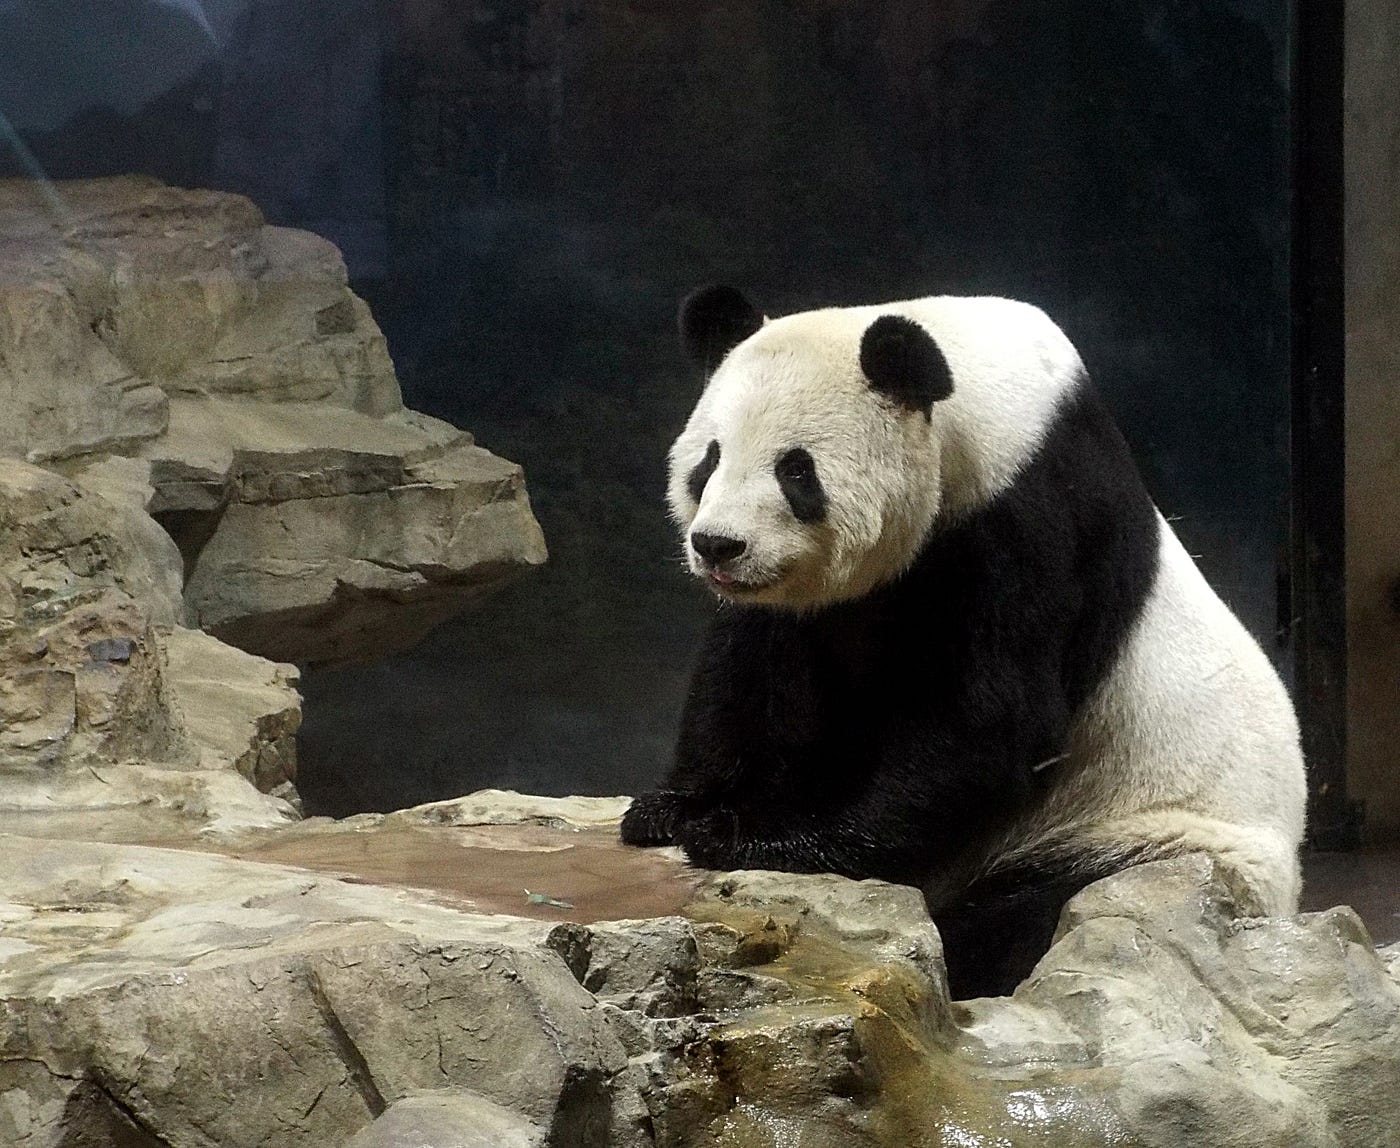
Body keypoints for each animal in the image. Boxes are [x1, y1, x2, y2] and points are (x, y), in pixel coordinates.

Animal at [621, 285, 1307, 999]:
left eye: (797, 472)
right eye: (709, 460)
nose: (717, 545)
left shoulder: (1028, 519)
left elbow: (987, 725)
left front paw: (767, 842)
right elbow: (756, 672)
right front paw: (678, 809)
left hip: (1155, 836)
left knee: (1033, 910)